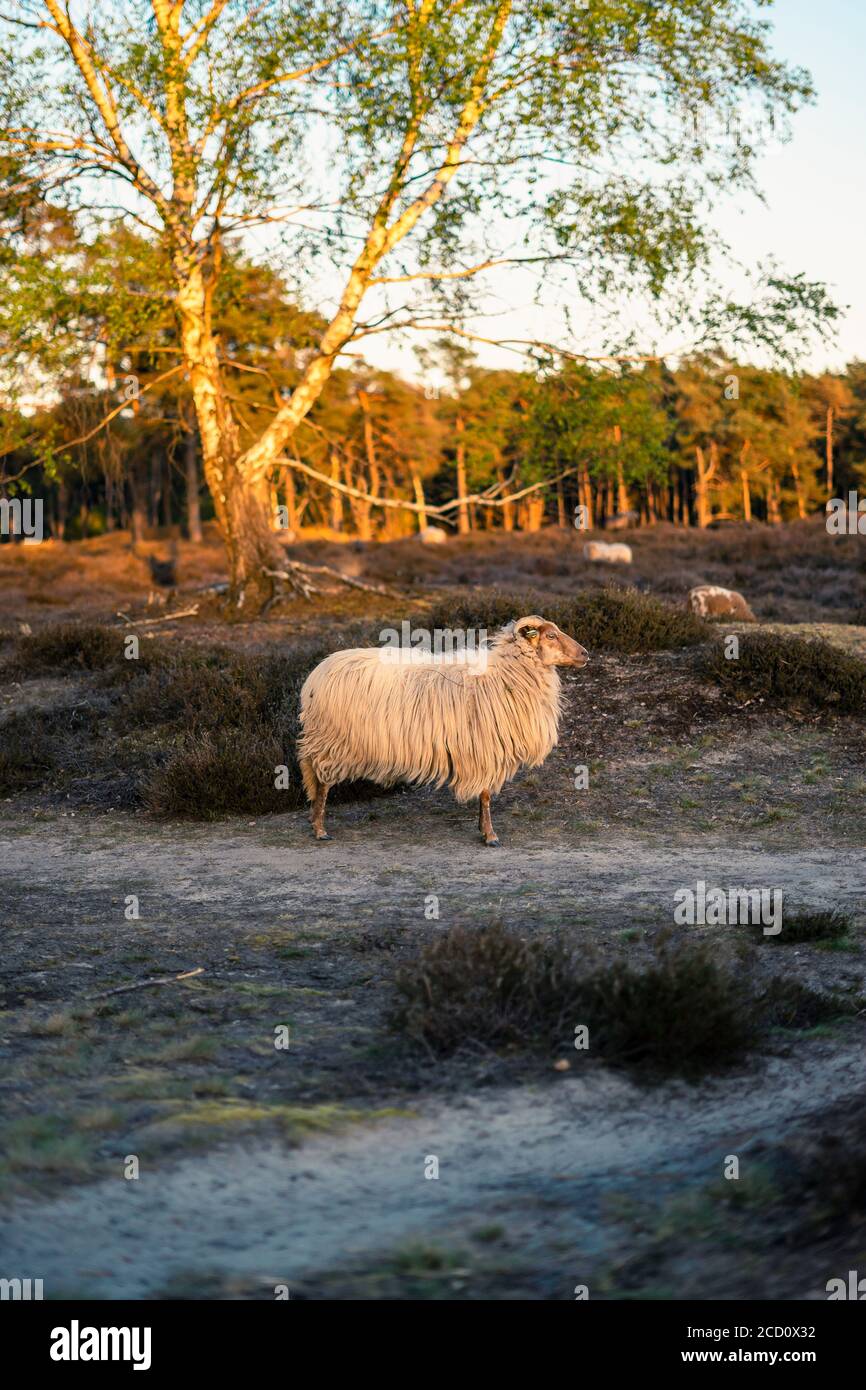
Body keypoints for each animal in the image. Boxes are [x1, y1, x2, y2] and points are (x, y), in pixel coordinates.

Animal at [297, 615, 588, 845]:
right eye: (551, 635)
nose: (585, 654)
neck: (506, 675)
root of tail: (316, 674)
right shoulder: (484, 748)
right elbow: (485, 795)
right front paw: (490, 835)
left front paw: (482, 828)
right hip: (331, 741)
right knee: (321, 781)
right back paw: (320, 829)